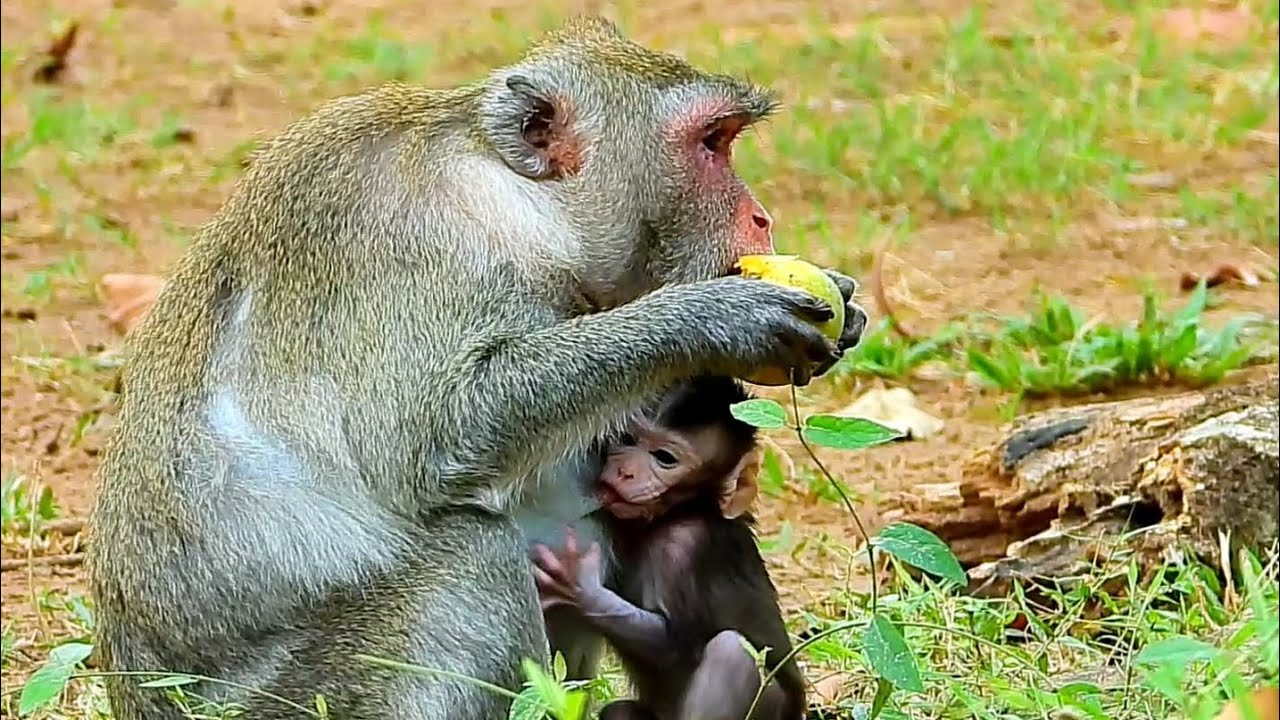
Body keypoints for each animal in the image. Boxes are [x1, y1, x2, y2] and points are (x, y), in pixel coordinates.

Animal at [531, 375, 807, 720]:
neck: (674, 514)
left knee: (732, 655)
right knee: (619, 712)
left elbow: (674, 647)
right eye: (626, 438)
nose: (625, 472)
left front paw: (579, 589)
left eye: (665, 458)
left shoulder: (684, 547)